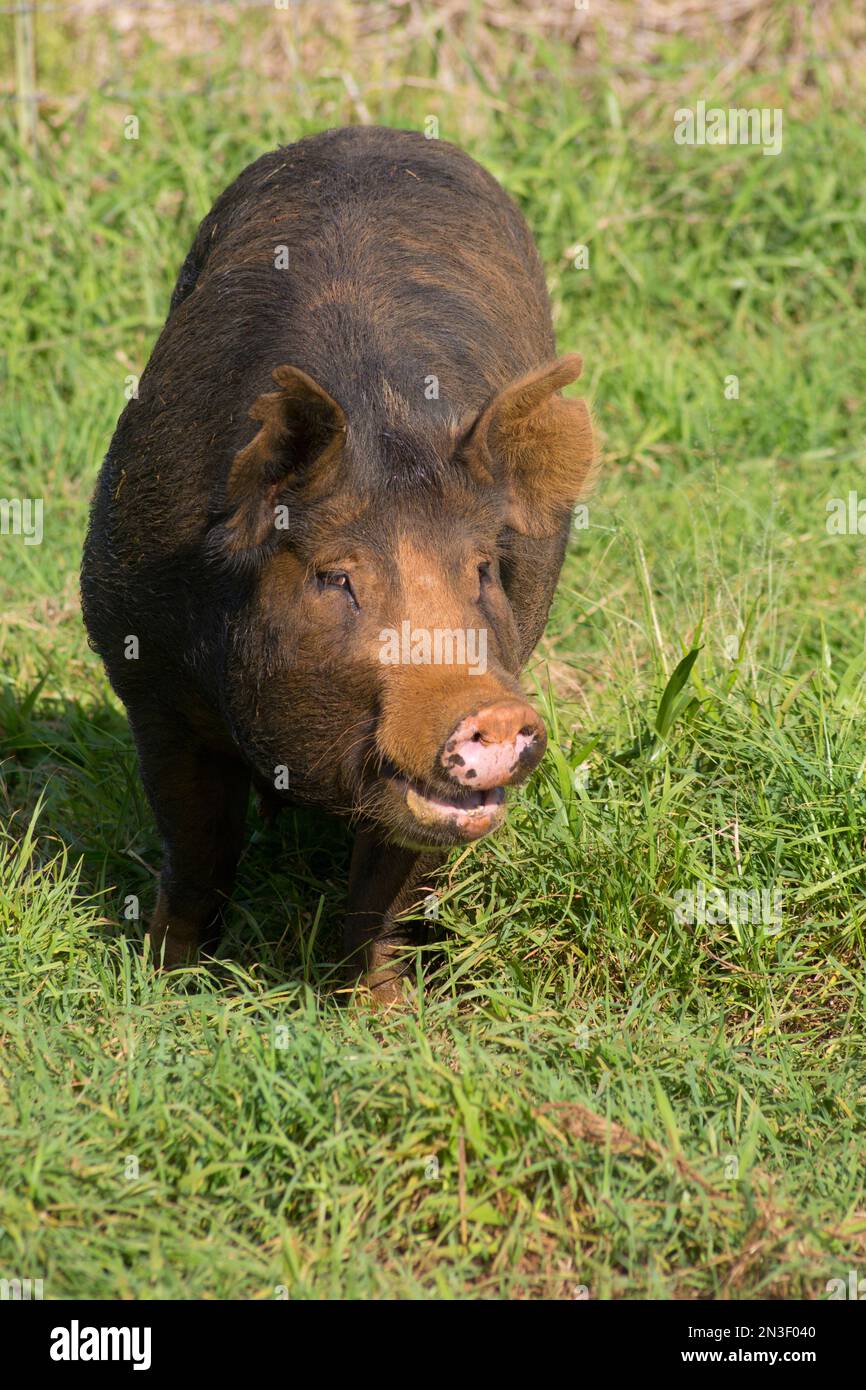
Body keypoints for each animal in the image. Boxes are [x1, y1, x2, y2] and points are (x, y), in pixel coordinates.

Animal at [81, 126, 595, 1004]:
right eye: (335, 576)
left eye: (482, 571)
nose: (492, 710)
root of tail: (375, 129)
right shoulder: (144, 673)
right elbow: (196, 843)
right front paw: (166, 980)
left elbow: (389, 888)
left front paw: (381, 1012)